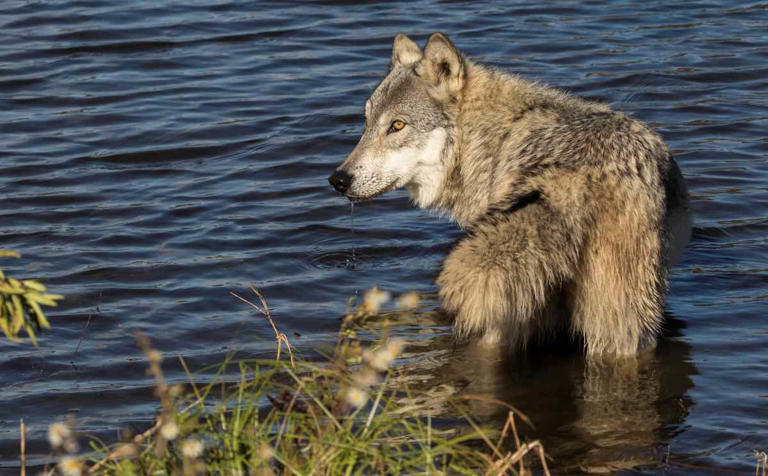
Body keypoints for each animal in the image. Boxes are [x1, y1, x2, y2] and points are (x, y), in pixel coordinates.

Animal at [328, 33, 690, 357]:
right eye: (366, 123)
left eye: (397, 126)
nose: (338, 180)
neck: (485, 138)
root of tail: (572, 182)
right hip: (622, 316)